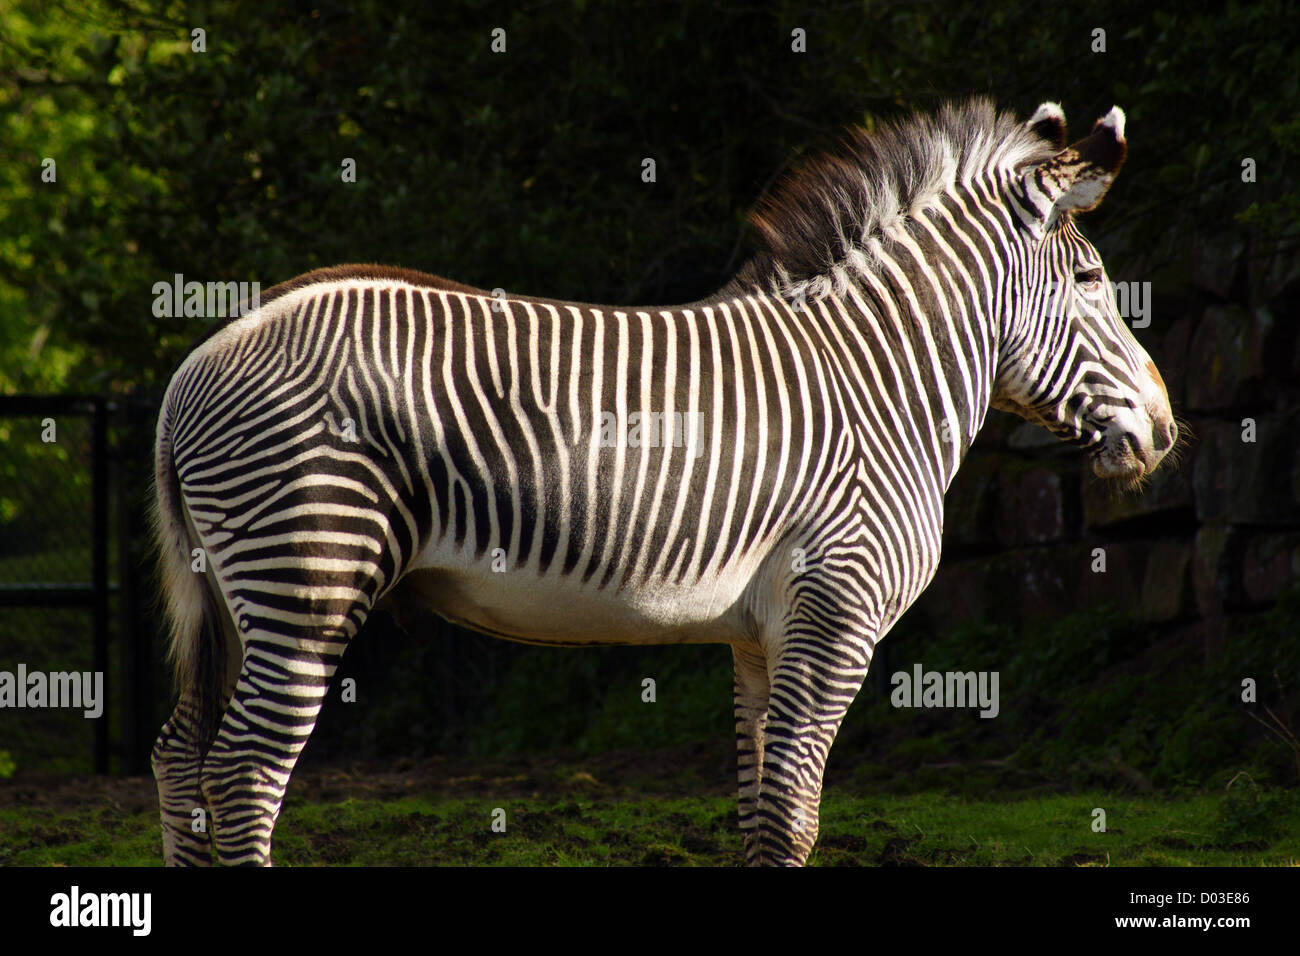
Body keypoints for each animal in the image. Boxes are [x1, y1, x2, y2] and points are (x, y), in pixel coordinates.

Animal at [150, 98, 1176, 866]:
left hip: (238, 593)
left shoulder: (764, 633)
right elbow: (792, 817)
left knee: (178, 763)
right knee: (240, 778)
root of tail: (201, 358)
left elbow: (762, 816)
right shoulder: (837, 611)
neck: (875, 379)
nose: (1165, 431)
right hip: (309, 573)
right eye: (1091, 279)